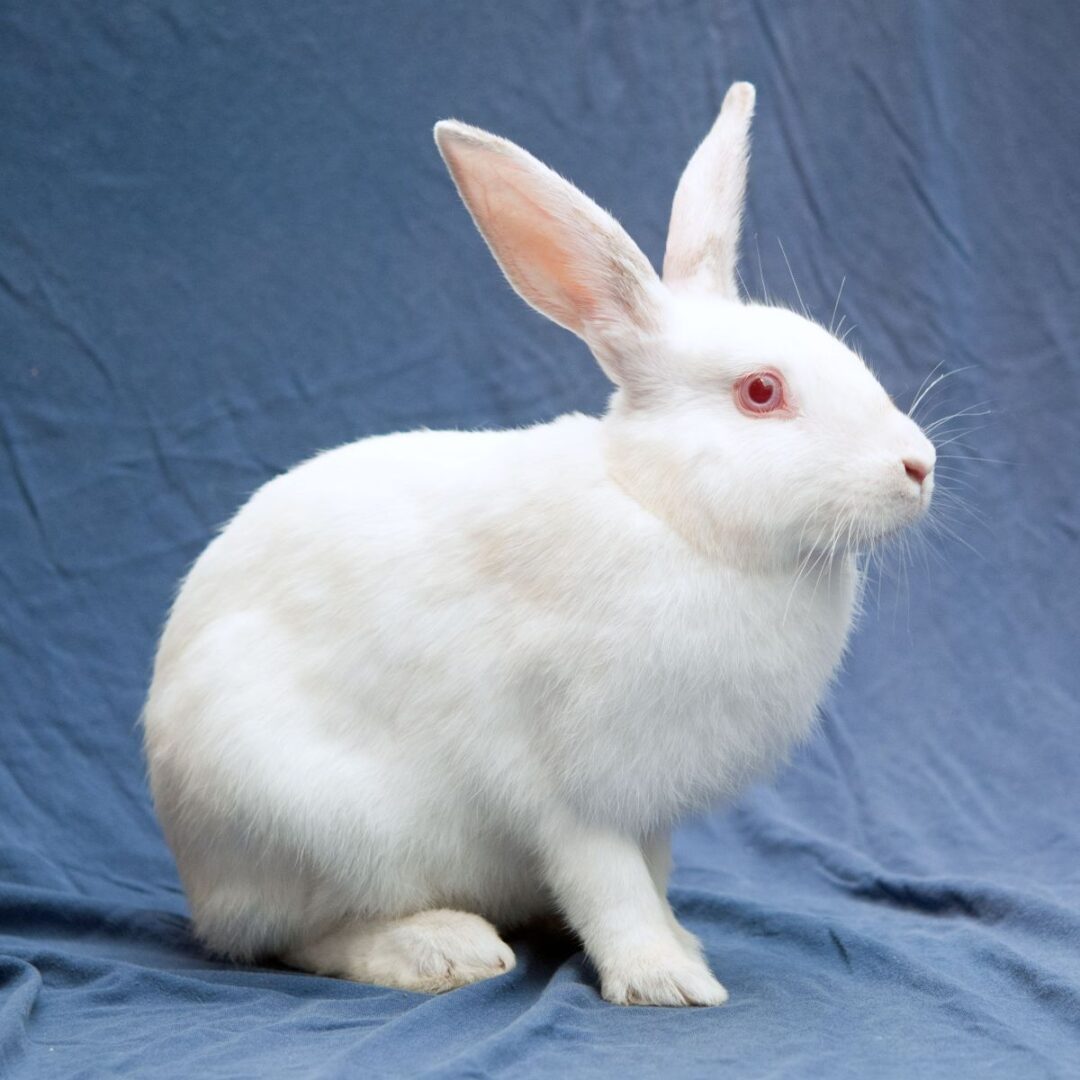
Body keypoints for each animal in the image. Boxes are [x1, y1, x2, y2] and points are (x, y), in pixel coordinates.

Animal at [143, 82, 936, 1007]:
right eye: (761, 392)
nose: (919, 465)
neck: (671, 514)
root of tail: (197, 877)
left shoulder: (648, 811)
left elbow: (652, 878)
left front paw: (681, 943)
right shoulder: (571, 796)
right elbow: (611, 886)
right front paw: (667, 981)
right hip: (311, 826)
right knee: (299, 939)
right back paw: (442, 952)